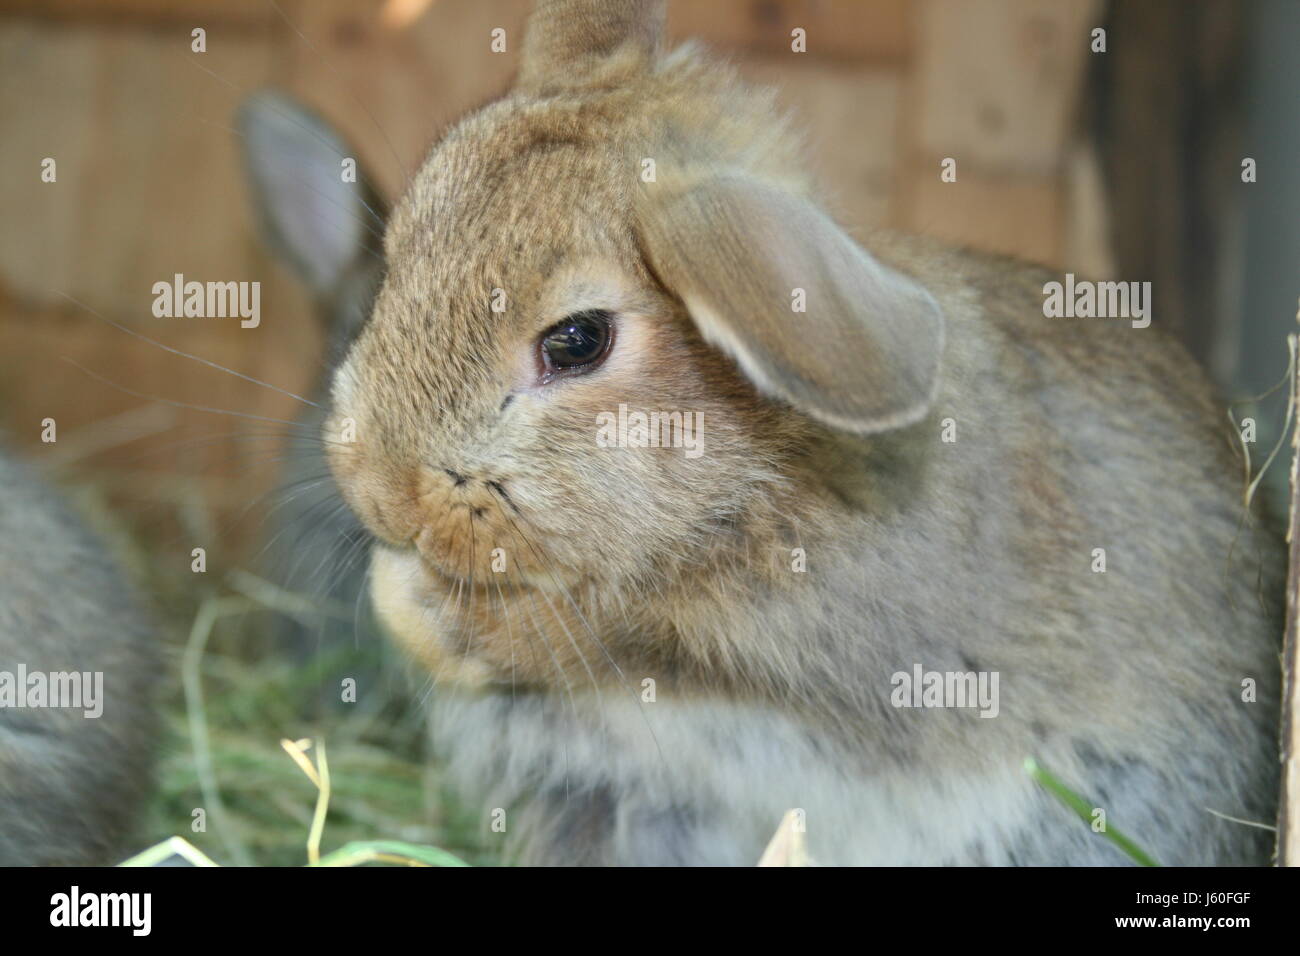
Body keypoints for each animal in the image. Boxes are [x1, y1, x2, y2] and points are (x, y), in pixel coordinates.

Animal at [321, 0, 1283, 865]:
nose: (382, 497)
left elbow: (588, 639)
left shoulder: (757, 646)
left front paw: (412, 602)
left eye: (577, 340)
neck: (748, 464)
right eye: (401, 252)